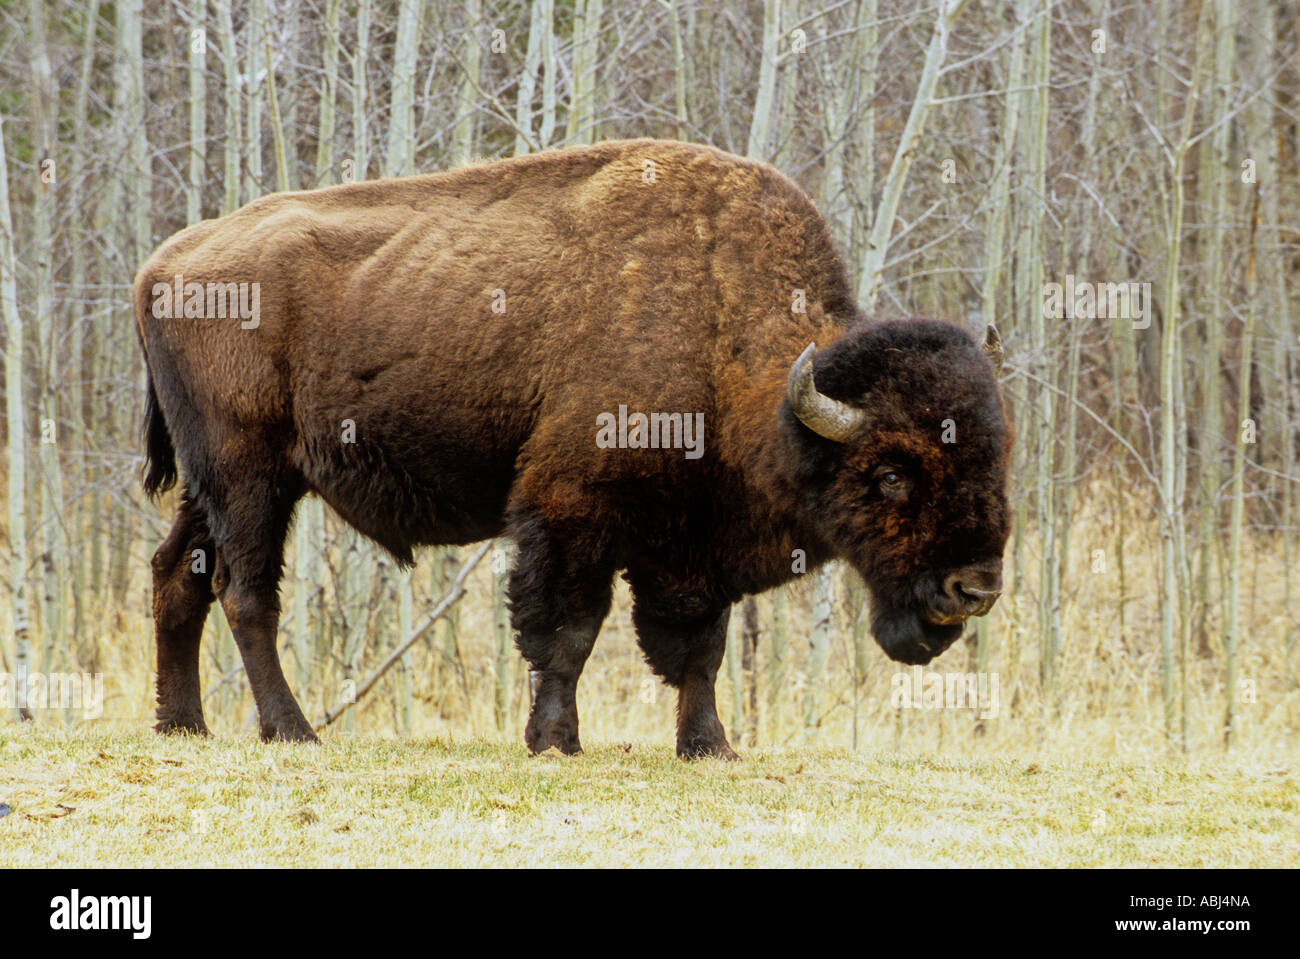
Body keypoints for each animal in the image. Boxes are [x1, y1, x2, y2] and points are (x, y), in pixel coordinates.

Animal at [135, 139, 1011, 758]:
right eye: (891, 473)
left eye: (997, 458)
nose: (974, 587)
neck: (722, 330)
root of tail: (164, 262)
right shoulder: (570, 511)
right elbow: (568, 630)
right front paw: (556, 740)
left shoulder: (694, 544)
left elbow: (701, 648)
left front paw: (710, 746)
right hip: (250, 476)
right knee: (246, 593)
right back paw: (292, 730)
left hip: (213, 485)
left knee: (178, 574)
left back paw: (183, 725)